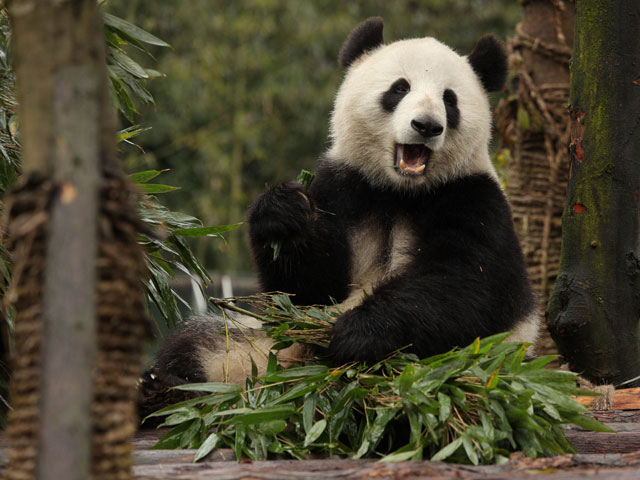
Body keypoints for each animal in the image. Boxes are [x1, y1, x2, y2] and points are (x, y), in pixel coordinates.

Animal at [141, 17, 538, 408]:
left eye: (450, 100)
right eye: (399, 89)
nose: (426, 126)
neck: (400, 192)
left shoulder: (474, 198)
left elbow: (464, 285)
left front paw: (356, 332)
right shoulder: (342, 188)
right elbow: (308, 290)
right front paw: (283, 214)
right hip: (250, 350)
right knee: (196, 346)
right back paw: (163, 388)